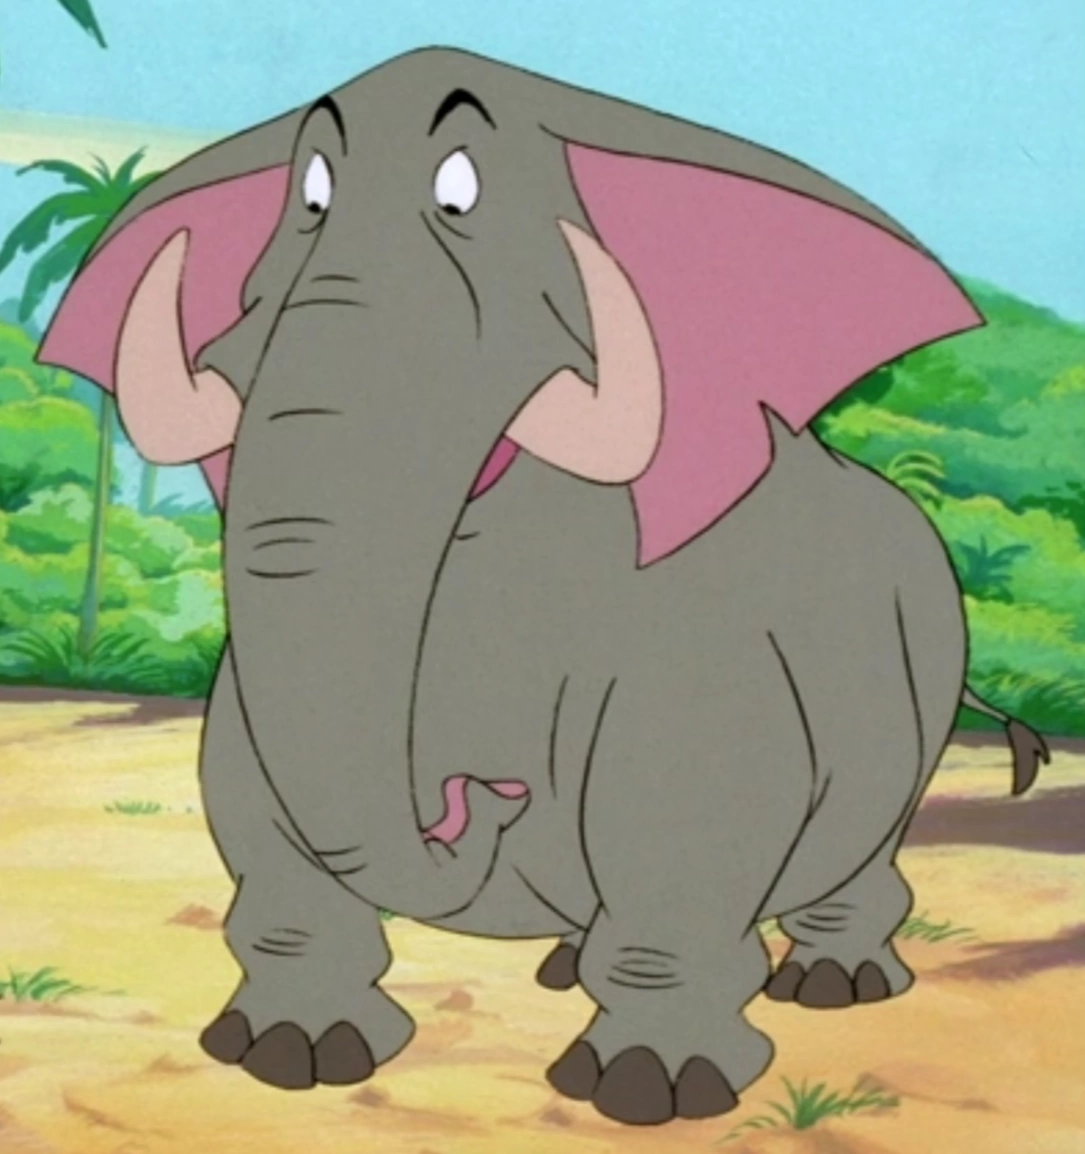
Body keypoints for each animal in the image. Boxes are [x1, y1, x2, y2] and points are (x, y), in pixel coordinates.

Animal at [39, 46, 1050, 1126]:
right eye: (309, 196)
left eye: (461, 192)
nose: (478, 791)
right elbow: (248, 778)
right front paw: (291, 1052)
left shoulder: (693, 613)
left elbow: (685, 806)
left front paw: (649, 1087)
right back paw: (566, 963)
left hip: (927, 642)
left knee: (865, 836)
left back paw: (835, 982)